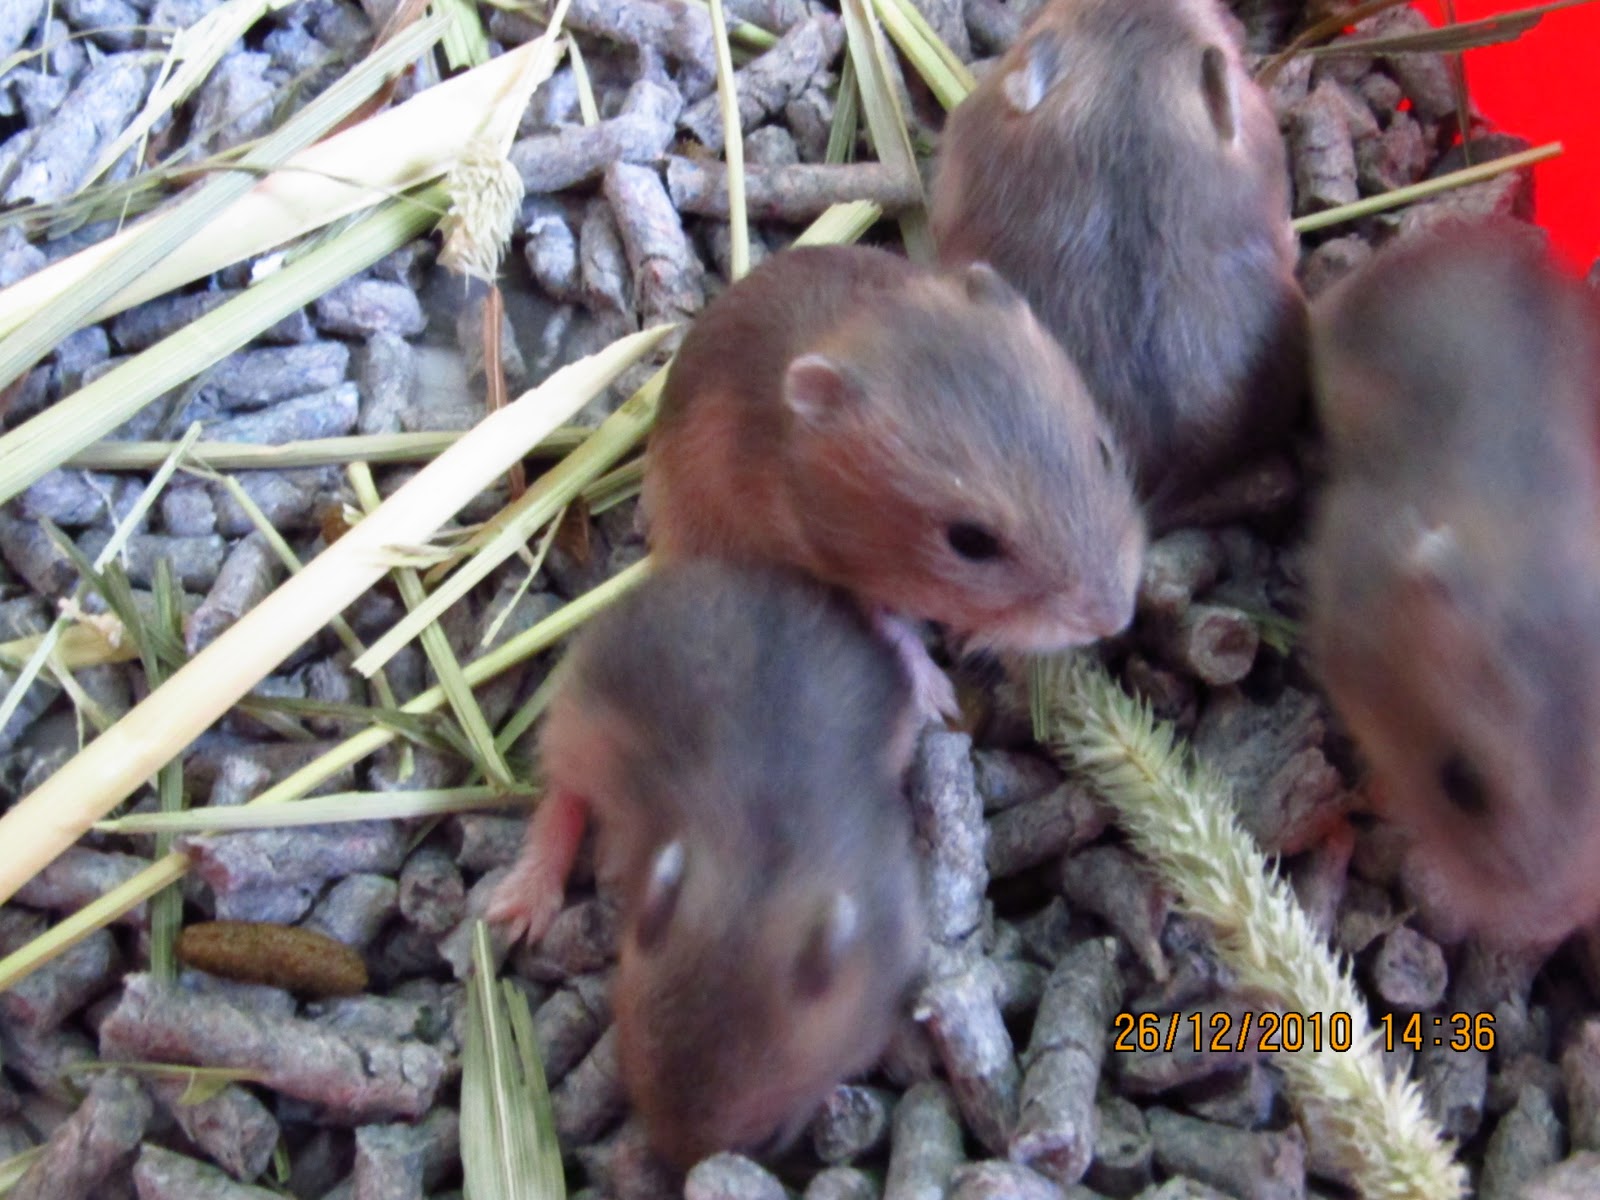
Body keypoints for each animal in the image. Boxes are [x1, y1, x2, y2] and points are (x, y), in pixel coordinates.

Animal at [488, 560, 926, 1166]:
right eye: (634, 1090)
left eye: (768, 1142)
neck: (760, 883)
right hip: (577, 719)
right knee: (564, 798)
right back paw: (521, 907)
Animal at [641, 243, 1146, 718]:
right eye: (970, 541)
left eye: (1103, 453)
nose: (1116, 622)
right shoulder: (835, 568)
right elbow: (891, 630)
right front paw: (942, 702)